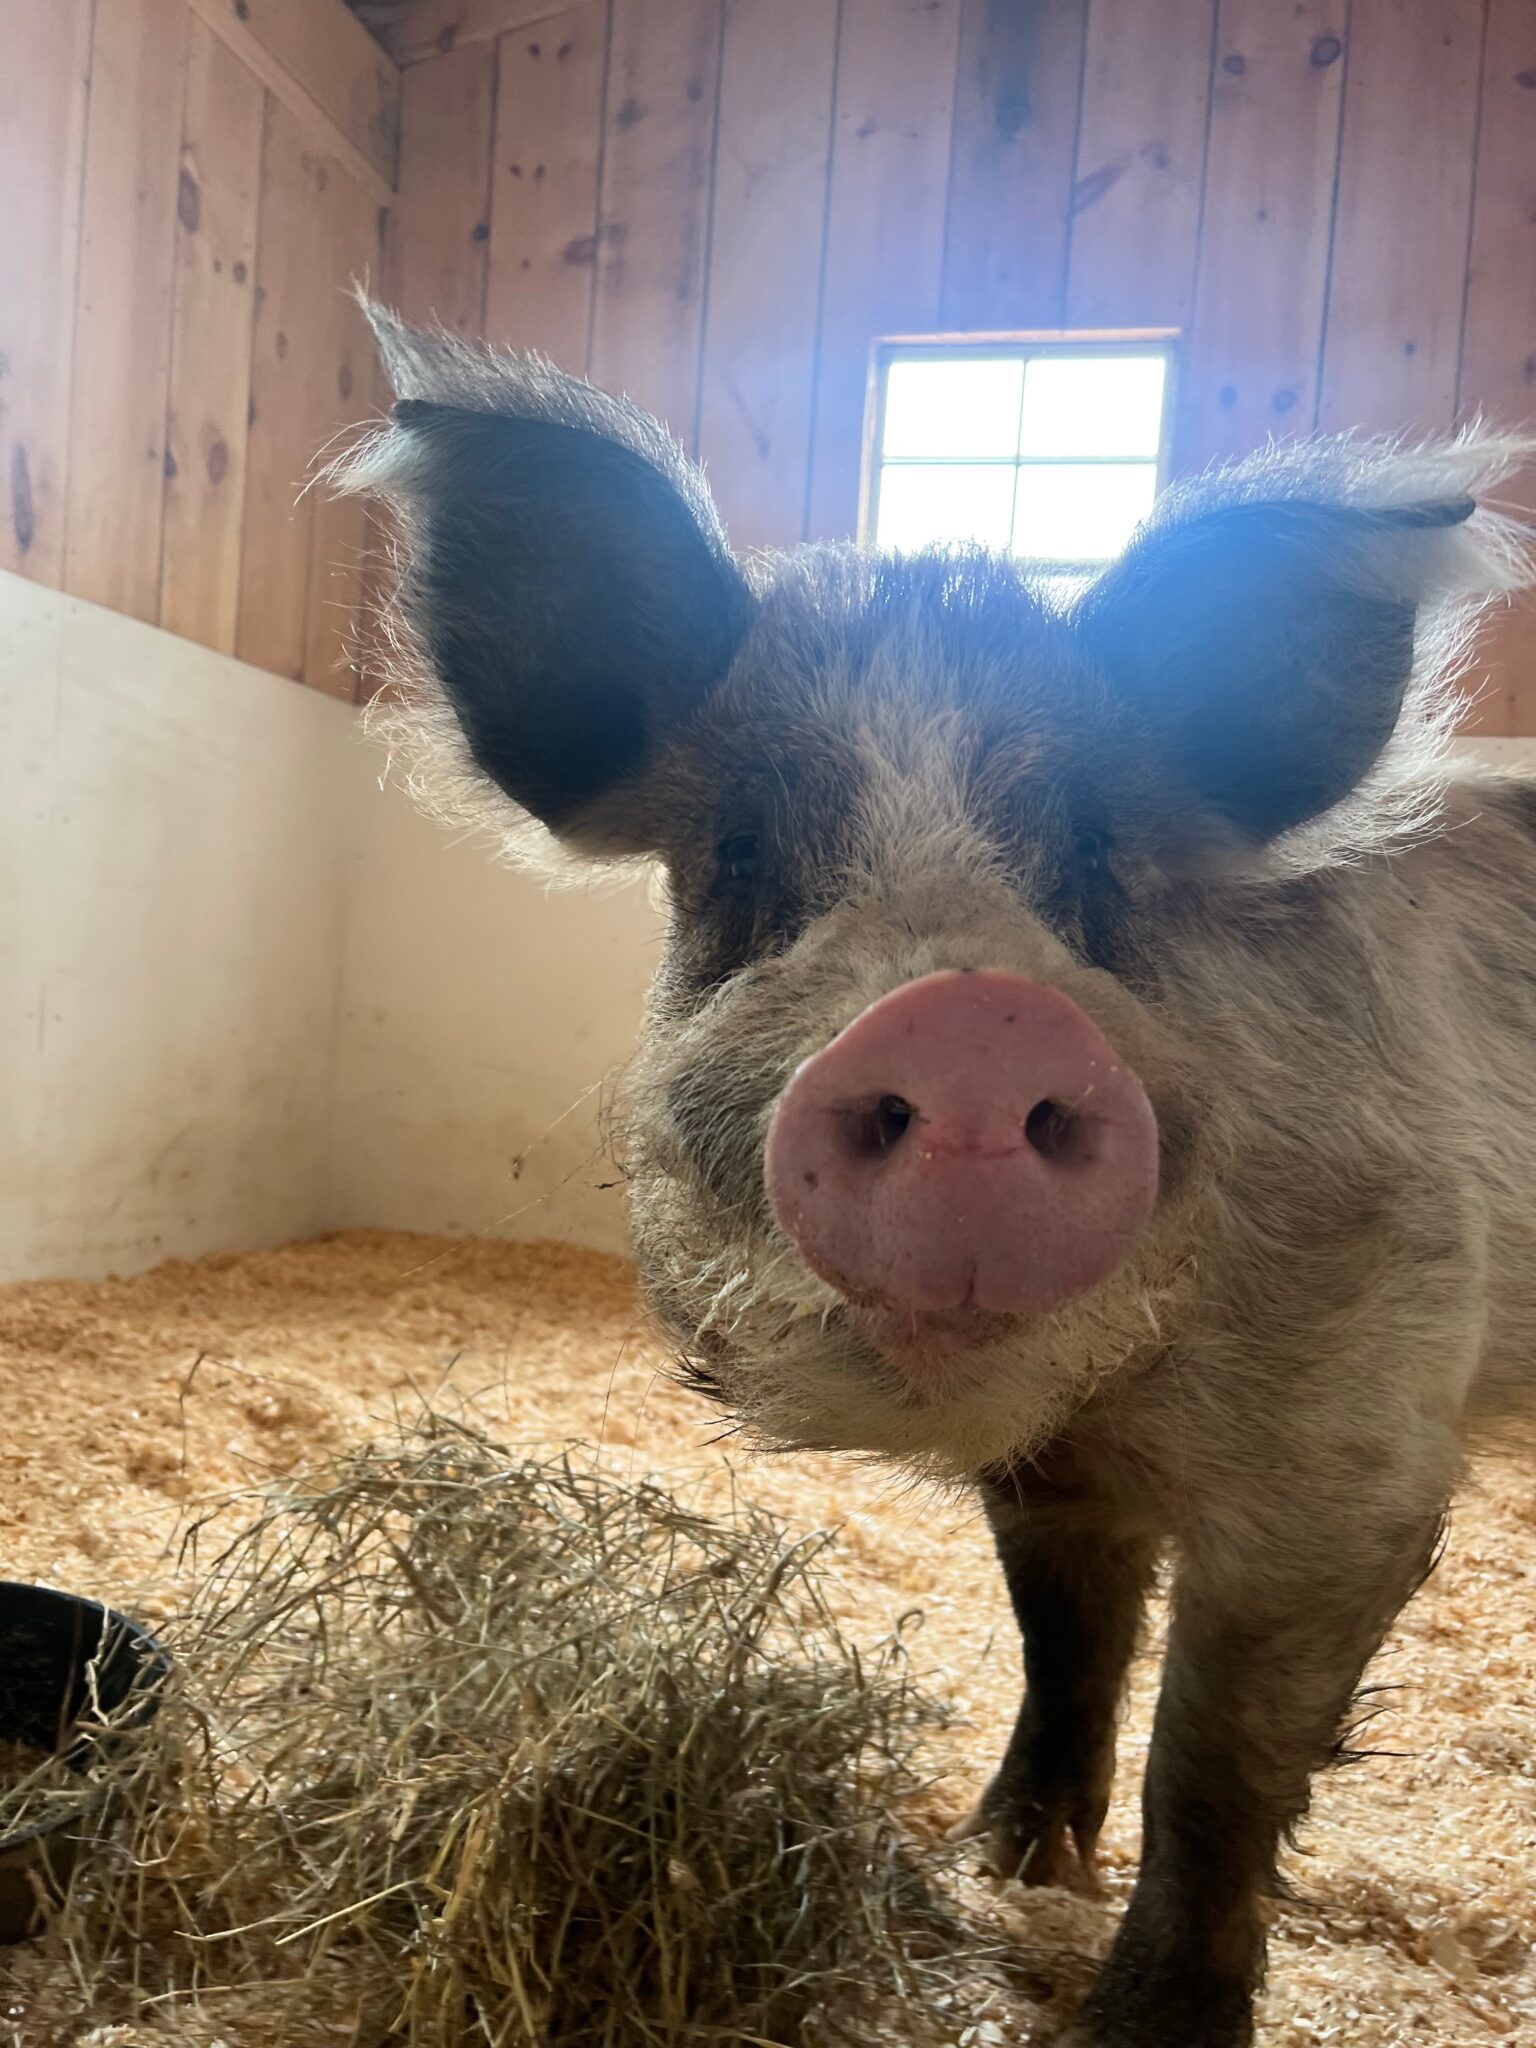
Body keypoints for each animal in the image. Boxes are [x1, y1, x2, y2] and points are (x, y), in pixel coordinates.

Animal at [335, 303, 1536, 2048]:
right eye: (744, 857)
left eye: (1094, 860)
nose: (971, 1014)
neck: (1117, 1402)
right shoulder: (1054, 1481)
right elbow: (1065, 1643)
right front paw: (1000, 1861)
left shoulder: (1355, 1456)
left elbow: (1218, 1766)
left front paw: (1138, 2023)